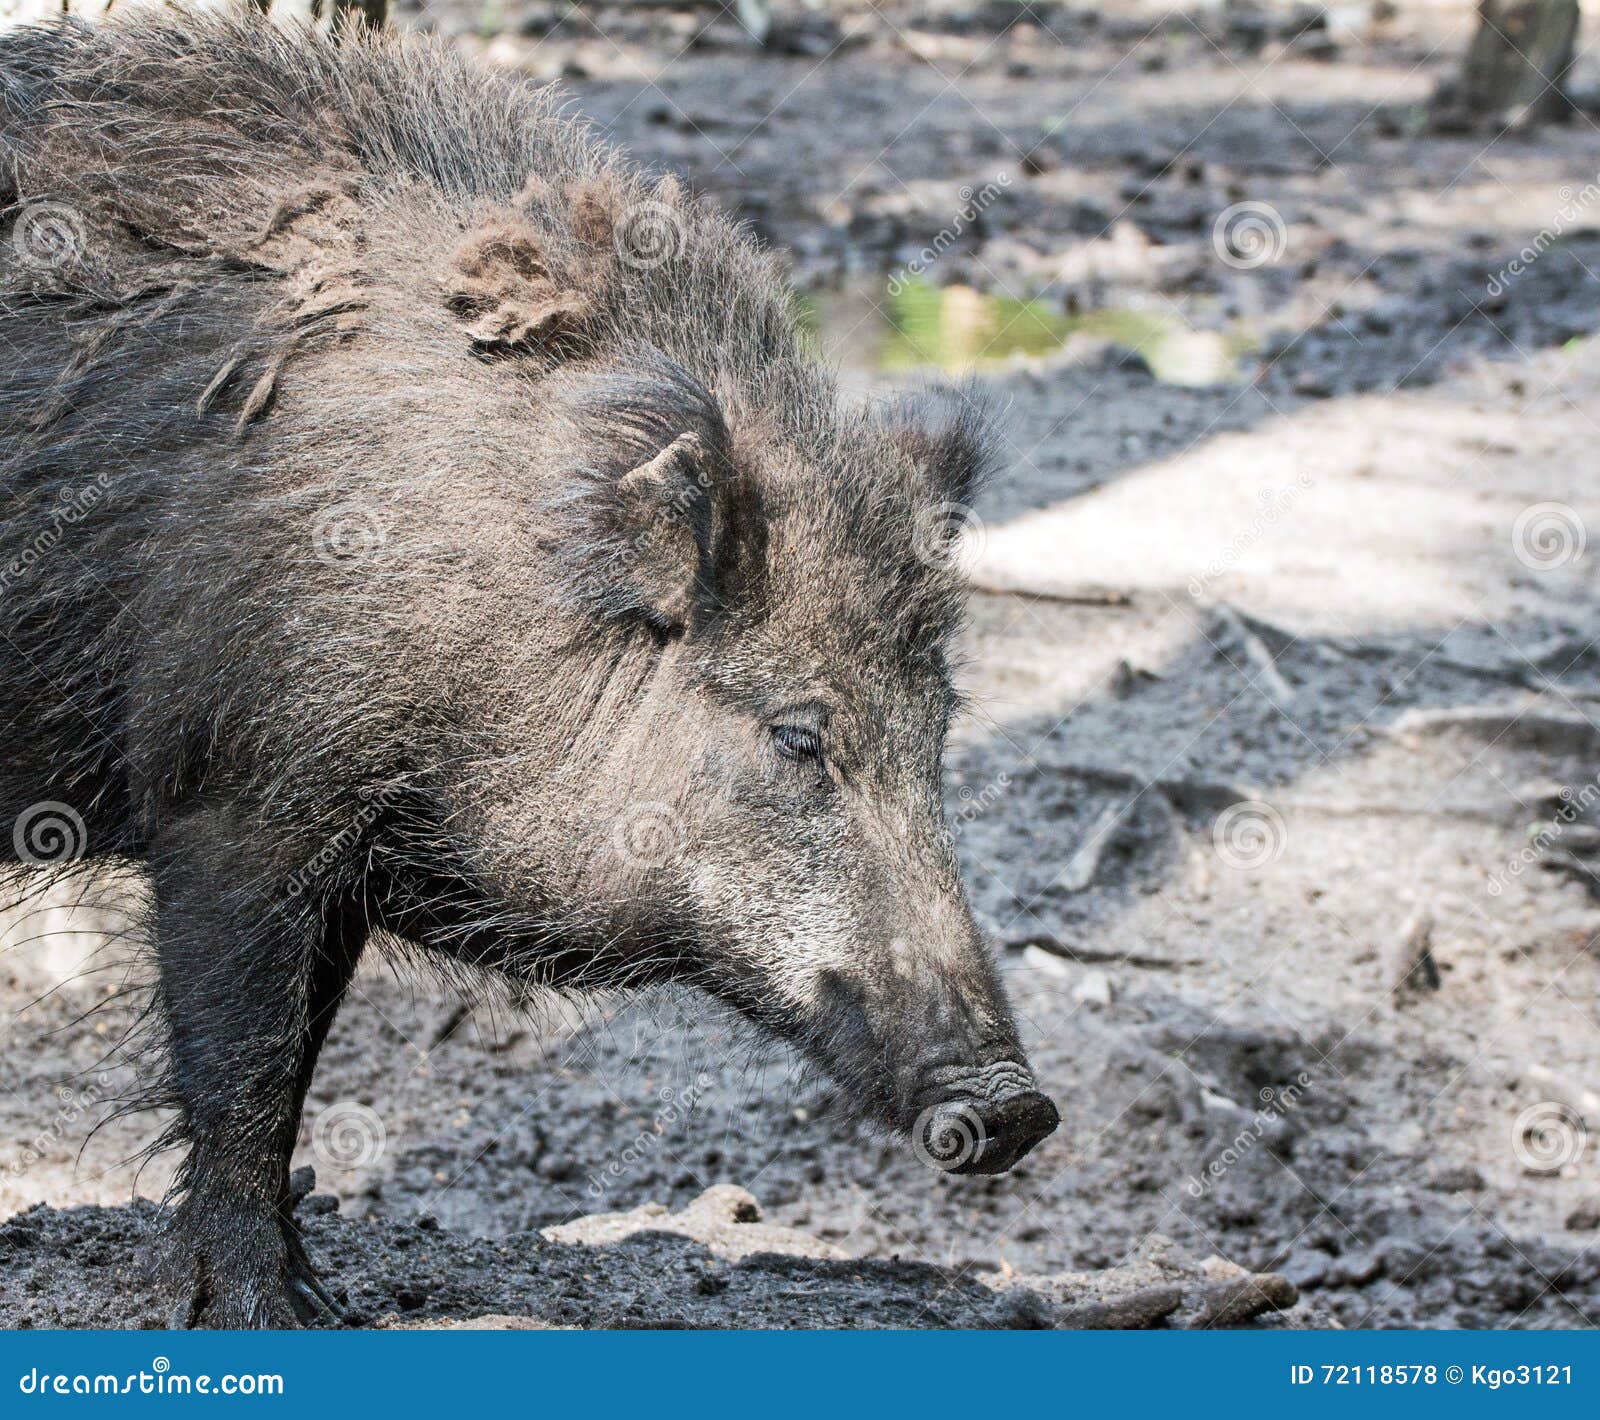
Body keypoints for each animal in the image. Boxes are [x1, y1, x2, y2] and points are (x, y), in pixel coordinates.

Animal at [0, 13, 1058, 1327]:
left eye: (939, 725)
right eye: (798, 735)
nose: (1018, 1106)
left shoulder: (336, 860)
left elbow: (296, 1067)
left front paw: (329, 1294)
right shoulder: (234, 797)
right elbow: (240, 1067)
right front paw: (271, 1311)